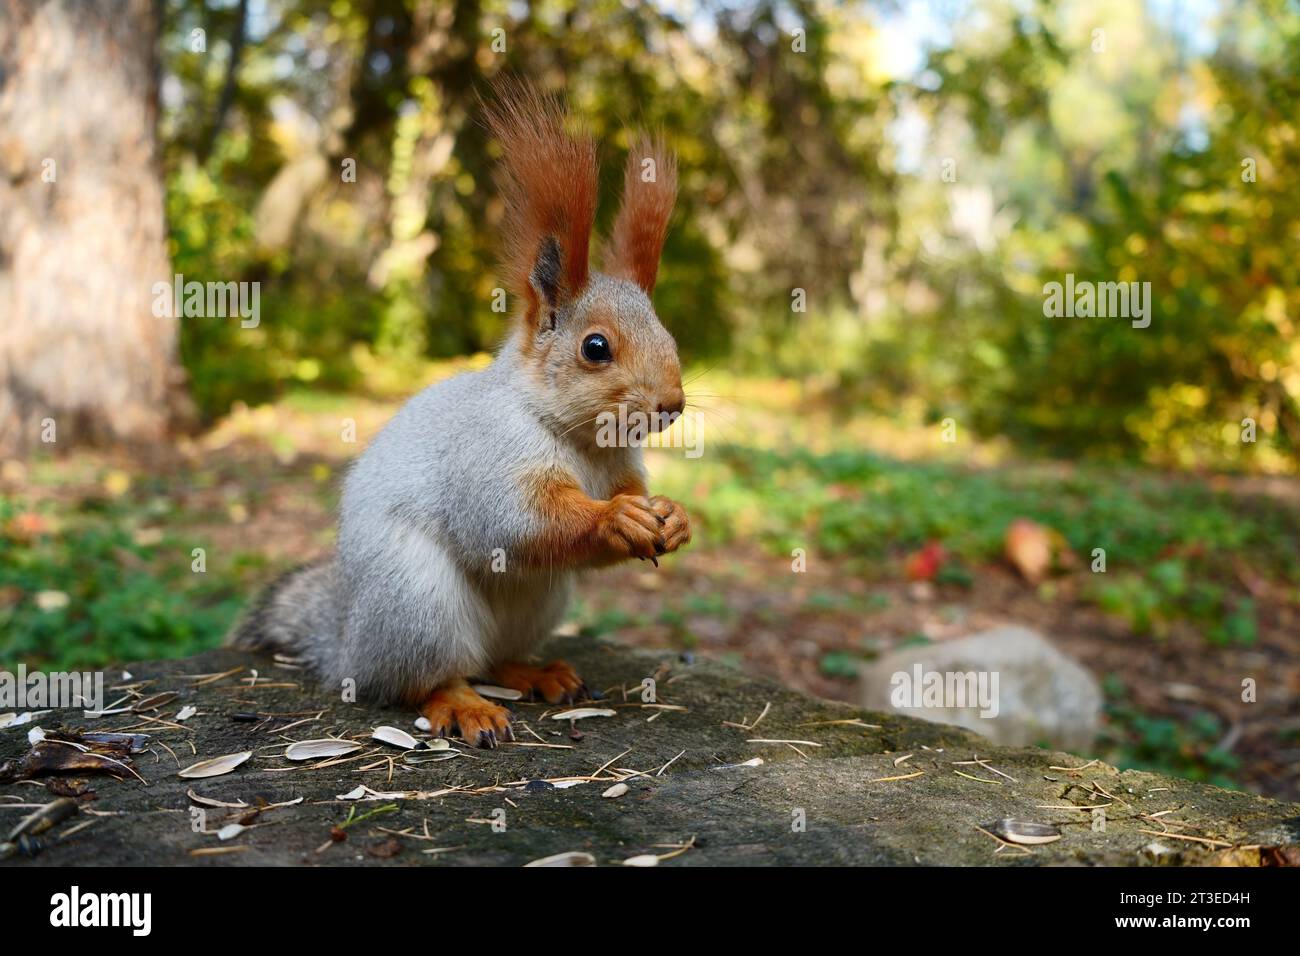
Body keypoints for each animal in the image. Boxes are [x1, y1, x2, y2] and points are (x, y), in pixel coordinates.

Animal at [227, 80, 691, 748]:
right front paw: (614, 518)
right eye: (595, 347)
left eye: (668, 333)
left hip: (541, 602)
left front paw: (672, 517)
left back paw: (537, 673)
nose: (672, 405)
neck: (579, 440)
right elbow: (514, 523)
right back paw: (465, 706)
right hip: (418, 604)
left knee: (494, 660)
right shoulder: (485, 460)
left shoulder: (621, 467)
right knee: (425, 679)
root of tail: (349, 650)